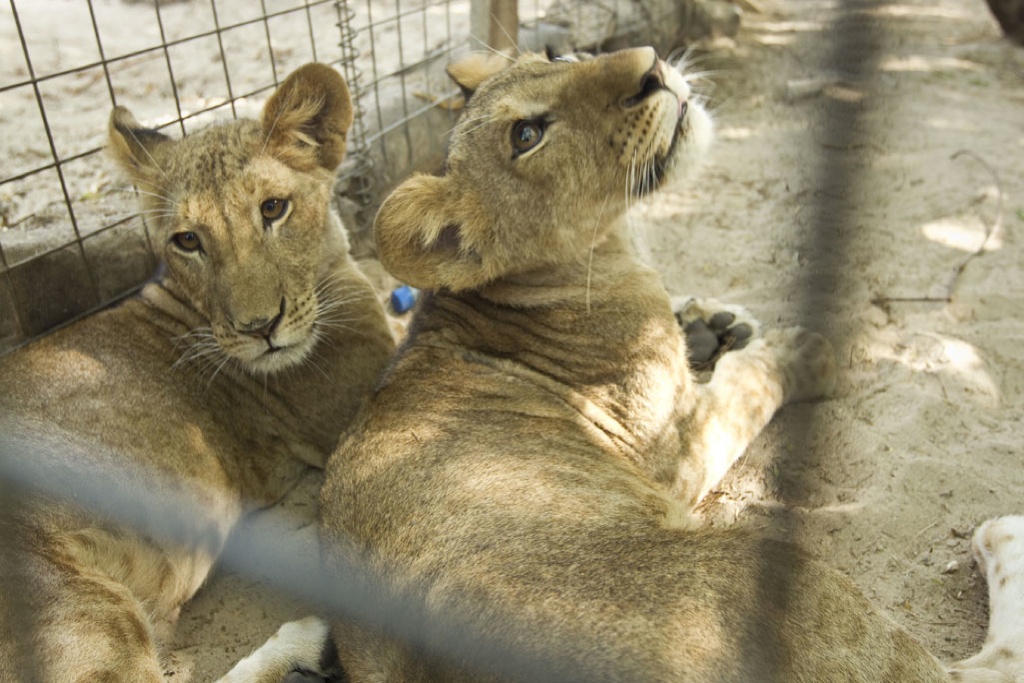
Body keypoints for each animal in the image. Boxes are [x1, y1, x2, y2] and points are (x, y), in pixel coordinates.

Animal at [217, 49, 1024, 683]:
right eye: (527, 134)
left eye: (556, 53)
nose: (651, 66)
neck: (615, 245)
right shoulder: (676, 450)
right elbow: (752, 381)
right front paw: (806, 345)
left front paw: (714, 325)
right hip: (769, 582)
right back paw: (1005, 534)